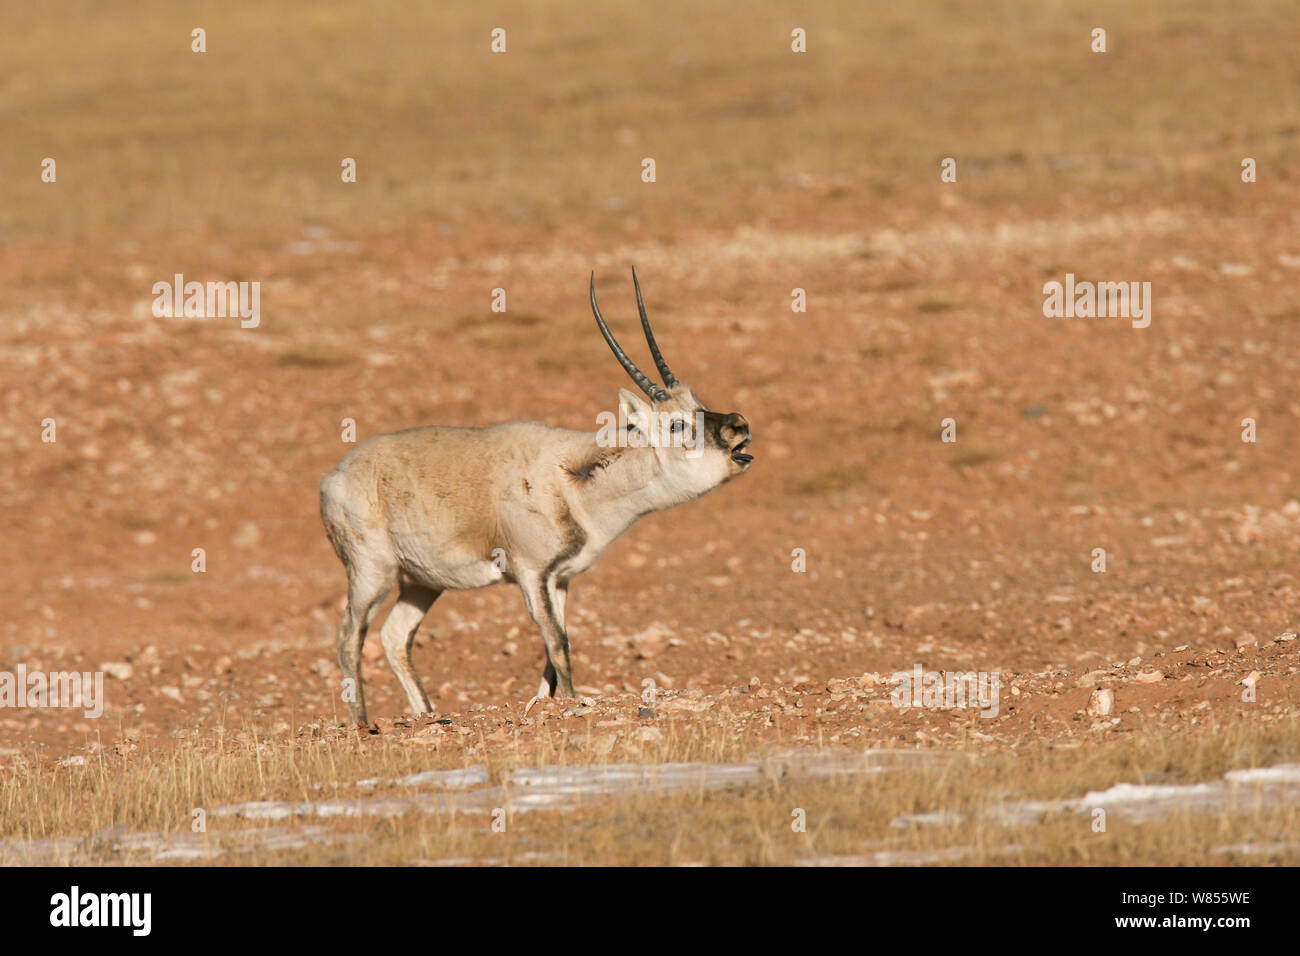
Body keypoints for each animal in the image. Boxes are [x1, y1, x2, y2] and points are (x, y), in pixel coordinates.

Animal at [320, 270, 753, 726]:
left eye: (699, 404)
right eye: (676, 424)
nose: (738, 425)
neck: (572, 477)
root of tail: (334, 477)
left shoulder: (560, 579)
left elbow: (552, 654)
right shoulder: (531, 574)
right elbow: (559, 645)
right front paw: (571, 703)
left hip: (421, 583)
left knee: (393, 636)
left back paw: (426, 713)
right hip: (372, 574)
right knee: (349, 636)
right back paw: (363, 723)